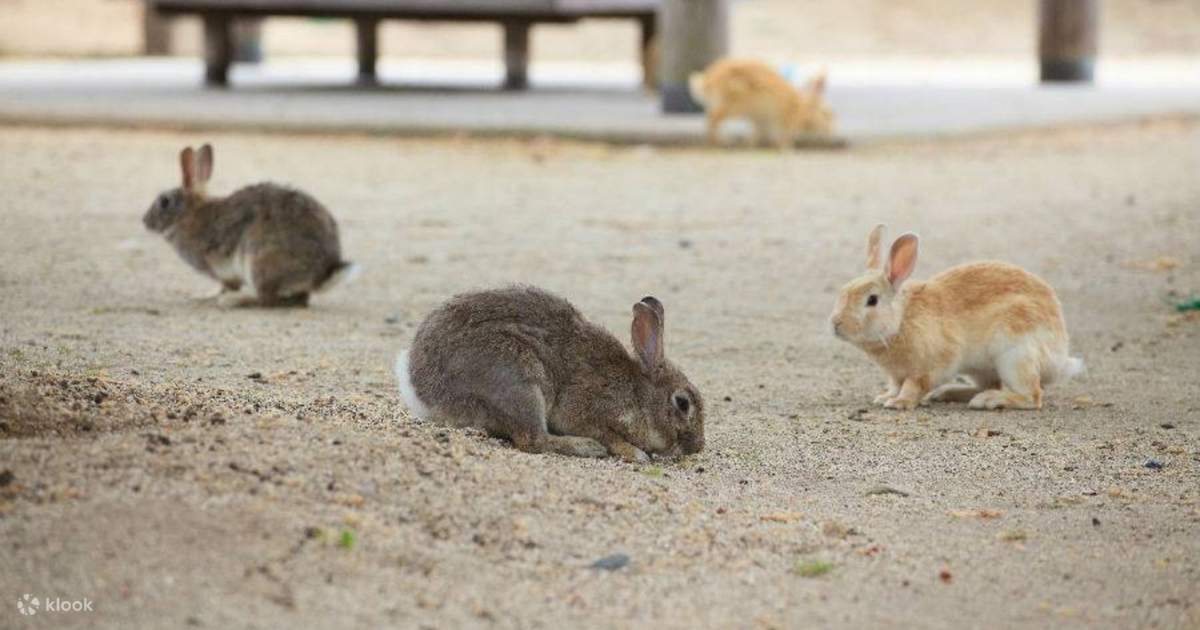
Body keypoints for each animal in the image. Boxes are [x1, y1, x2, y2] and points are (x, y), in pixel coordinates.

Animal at [142, 144, 357, 307]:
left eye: (164, 201)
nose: (145, 221)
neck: (187, 214)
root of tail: (321, 274)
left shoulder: (219, 269)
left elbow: (224, 286)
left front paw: (205, 297)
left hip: (259, 262)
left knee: (266, 299)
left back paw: (235, 301)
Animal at [395, 286, 704, 462]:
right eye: (682, 403)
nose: (698, 447)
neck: (638, 393)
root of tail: (423, 392)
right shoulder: (584, 410)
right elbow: (608, 436)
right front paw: (636, 453)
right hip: (519, 381)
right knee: (532, 440)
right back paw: (586, 448)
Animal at [689, 58, 833, 150]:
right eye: (827, 113)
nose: (832, 130)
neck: (801, 109)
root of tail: (708, 82)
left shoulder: (760, 120)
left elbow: (758, 133)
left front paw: (751, 146)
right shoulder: (783, 121)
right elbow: (782, 136)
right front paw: (787, 148)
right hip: (734, 105)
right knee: (713, 119)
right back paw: (721, 142)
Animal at [829, 225, 1084, 411]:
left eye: (872, 300)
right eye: (843, 291)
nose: (836, 325)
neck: (900, 321)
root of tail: (1059, 356)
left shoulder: (929, 367)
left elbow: (913, 385)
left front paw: (899, 403)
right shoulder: (895, 375)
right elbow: (894, 385)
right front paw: (884, 397)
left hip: (1015, 355)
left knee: (1032, 396)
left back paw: (988, 400)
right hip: (982, 367)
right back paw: (949, 393)